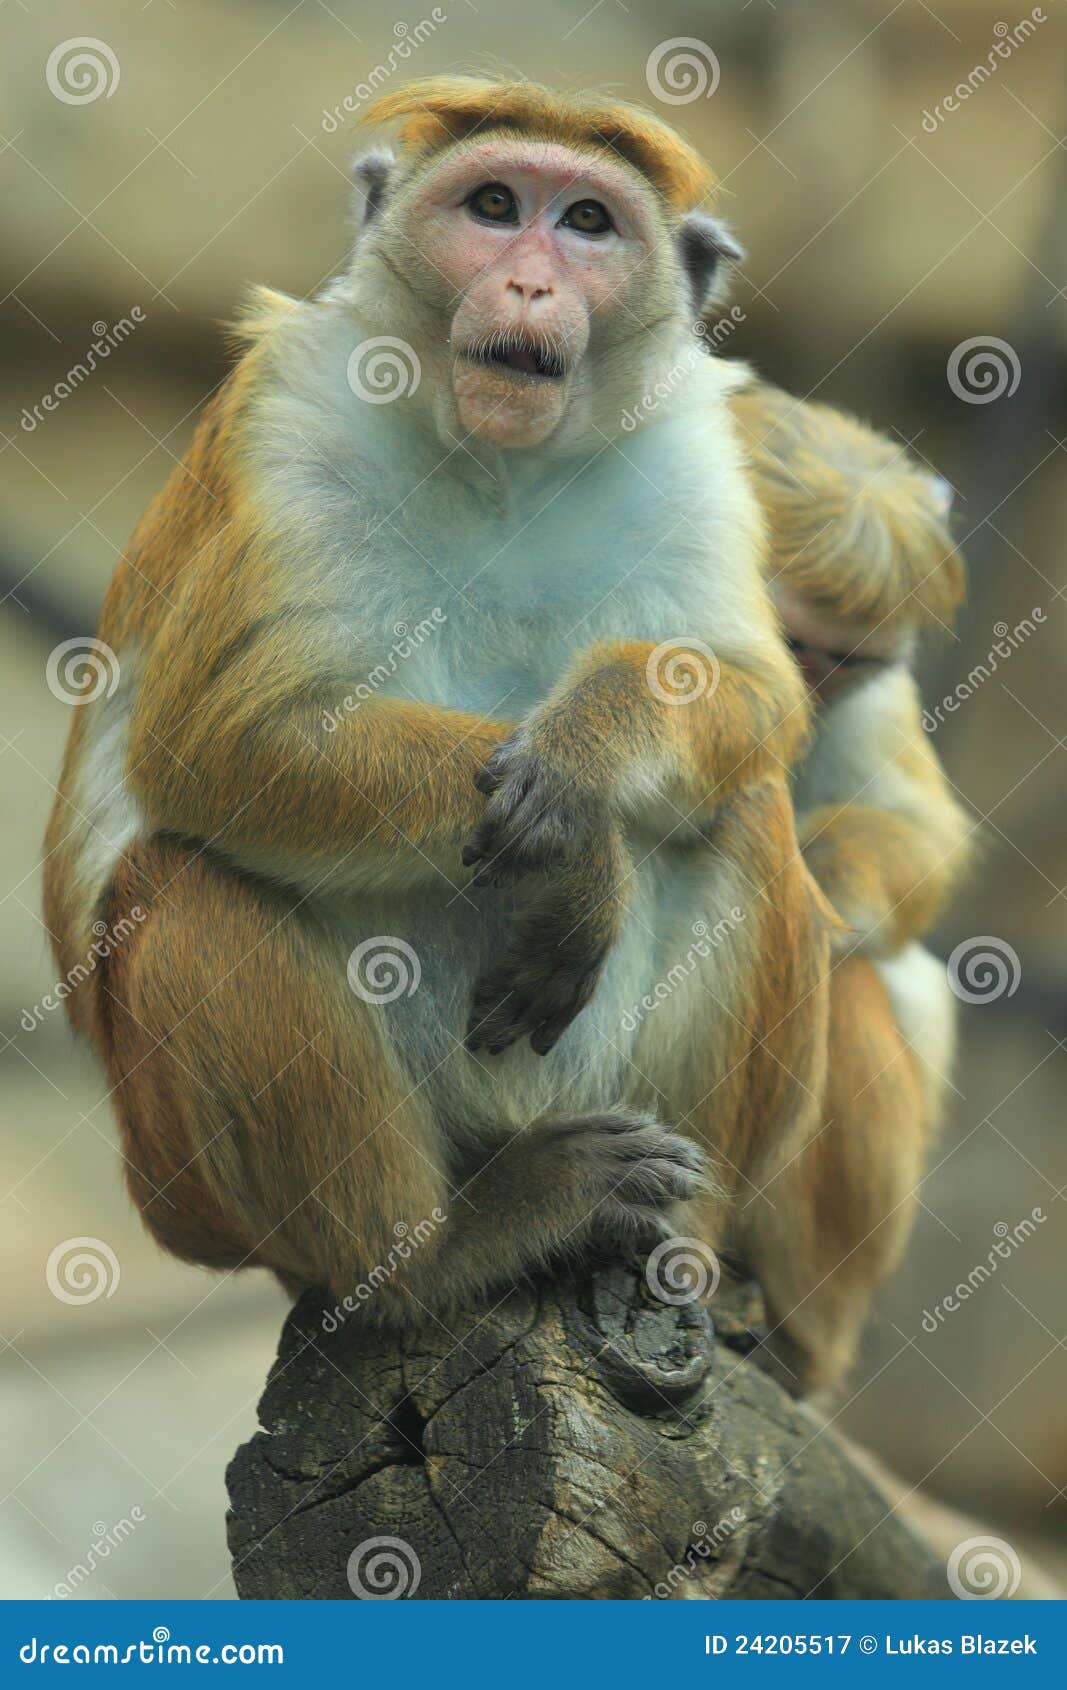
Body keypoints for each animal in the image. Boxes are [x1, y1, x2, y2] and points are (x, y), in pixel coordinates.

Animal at [44, 78, 844, 1372]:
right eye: (491, 206)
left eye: (585, 222)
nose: (525, 284)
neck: (500, 469)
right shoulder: (292, 418)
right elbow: (221, 747)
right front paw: (581, 858)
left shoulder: (687, 450)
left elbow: (746, 687)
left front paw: (581, 763)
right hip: (199, 1190)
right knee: (181, 885)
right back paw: (443, 1251)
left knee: (741, 809)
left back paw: (679, 1251)